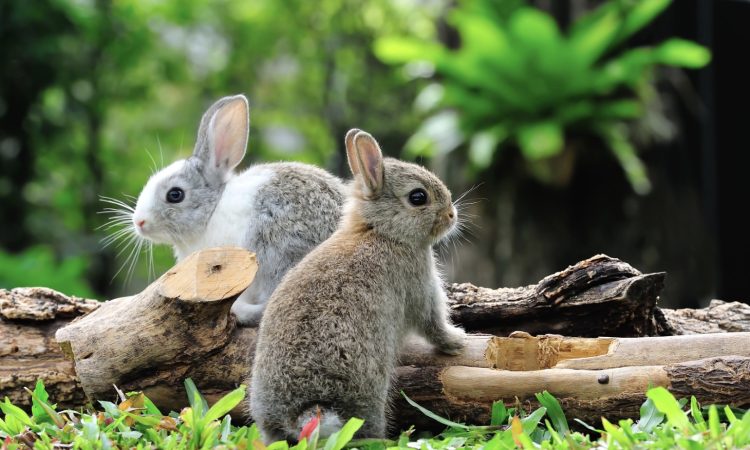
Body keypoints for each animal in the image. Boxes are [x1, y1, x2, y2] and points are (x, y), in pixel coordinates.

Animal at [249, 129, 467, 443]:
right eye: (418, 197)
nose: (452, 215)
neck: (380, 231)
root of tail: (305, 411)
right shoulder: (419, 285)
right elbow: (433, 324)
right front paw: (457, 341)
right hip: (368, 394)